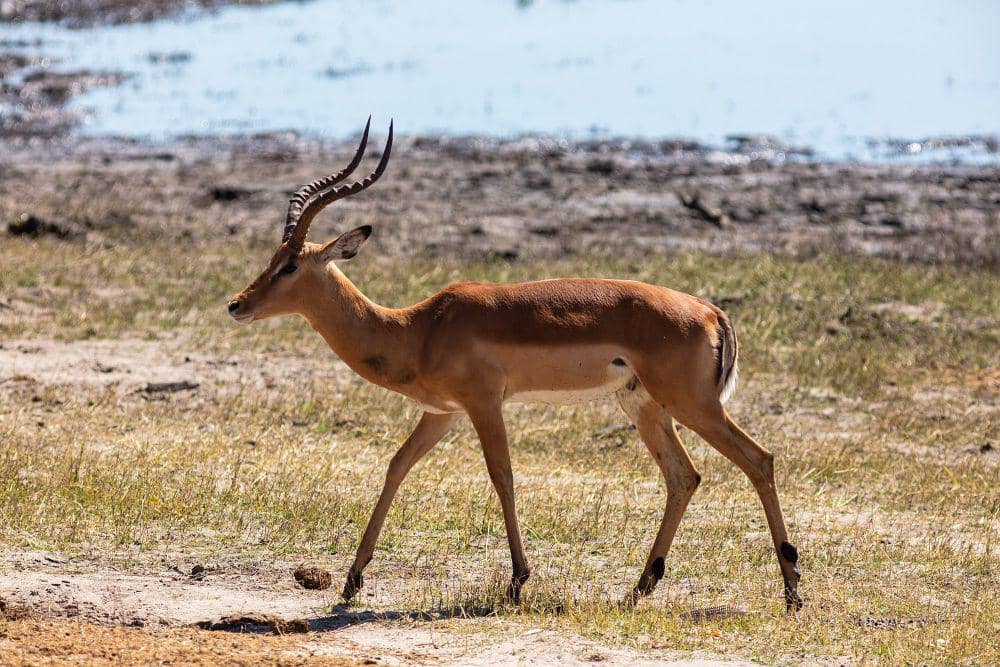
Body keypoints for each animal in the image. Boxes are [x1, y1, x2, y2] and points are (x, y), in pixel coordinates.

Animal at [228, 118, 802, 611]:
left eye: (291, 264)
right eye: (273, 257)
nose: (237, 304)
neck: (417, 328)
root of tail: (710, 311)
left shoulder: (484, 404)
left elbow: (501, 474)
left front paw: (517, 581)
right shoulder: (443, 412)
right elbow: (396, 466)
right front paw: (351, 580)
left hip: (693, 404)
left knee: (760, 460)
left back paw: (792, 588)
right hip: (644, 405)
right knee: (685, 476)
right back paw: (640, 588)